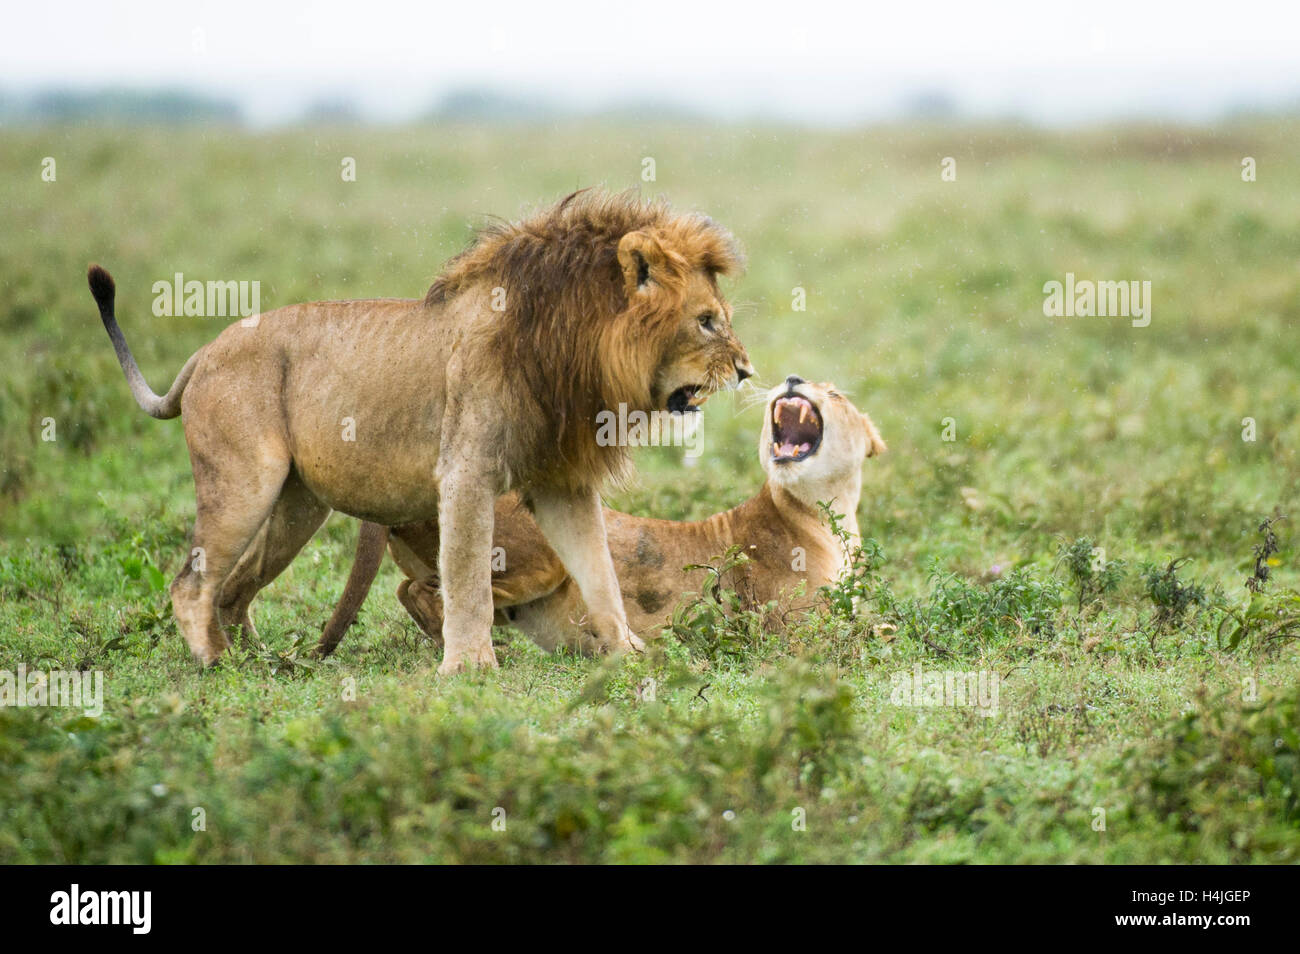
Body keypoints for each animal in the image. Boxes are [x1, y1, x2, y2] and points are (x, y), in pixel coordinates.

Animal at [88, 189, 752, 672]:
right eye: (707, 322)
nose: (747, 371)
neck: (573, 343)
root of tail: (203, 352)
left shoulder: (560, 481)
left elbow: (600, 574)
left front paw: (632, 655)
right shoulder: (464, 472)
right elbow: (467, 579)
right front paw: (471, 669)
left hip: (297, 507)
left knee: (234, 587)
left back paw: (267, 662)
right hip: (244, 484)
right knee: (191, 585)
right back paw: (217, 664)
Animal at [315, 377, 886, 655]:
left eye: (835, 394)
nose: (792, 379)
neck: (825, 513)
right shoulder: (791, 630)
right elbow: (874, 634)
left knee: (412, 588)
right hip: (539, 554)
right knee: (424, 591)